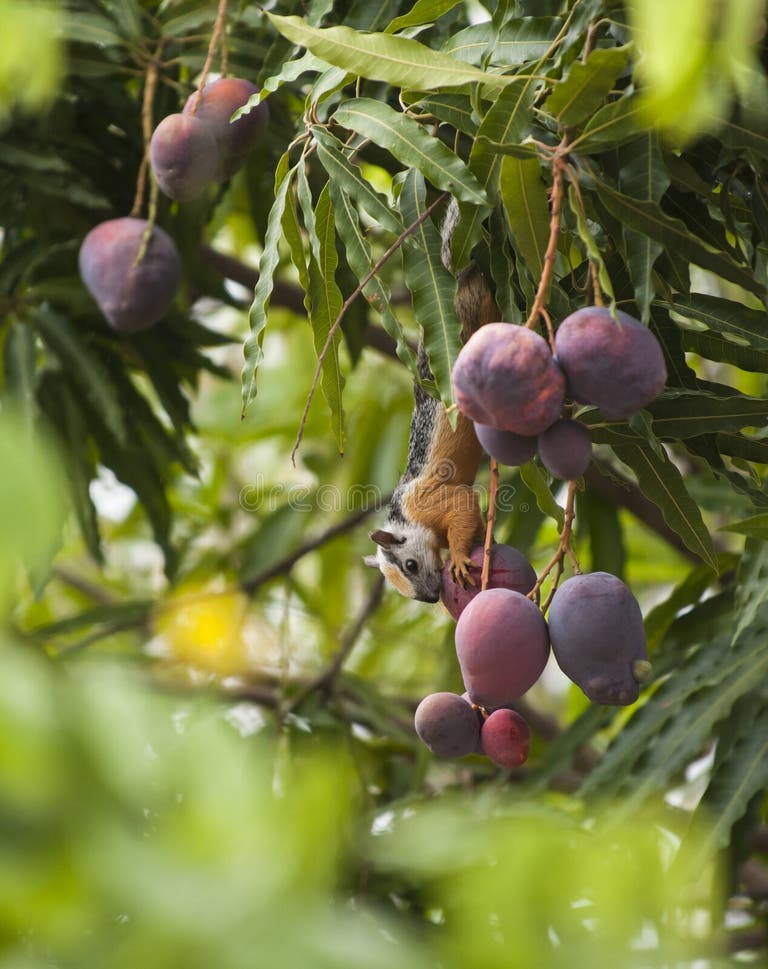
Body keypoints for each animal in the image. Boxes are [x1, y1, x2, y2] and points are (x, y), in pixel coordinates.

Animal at [366, 258, 498, 602]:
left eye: (410, 565)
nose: (430, 598)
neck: (407, 520)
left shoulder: (427, 503)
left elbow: (463, 504)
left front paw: (461, 558)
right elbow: (471, 522)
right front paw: (480, 541)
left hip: (470, 313)